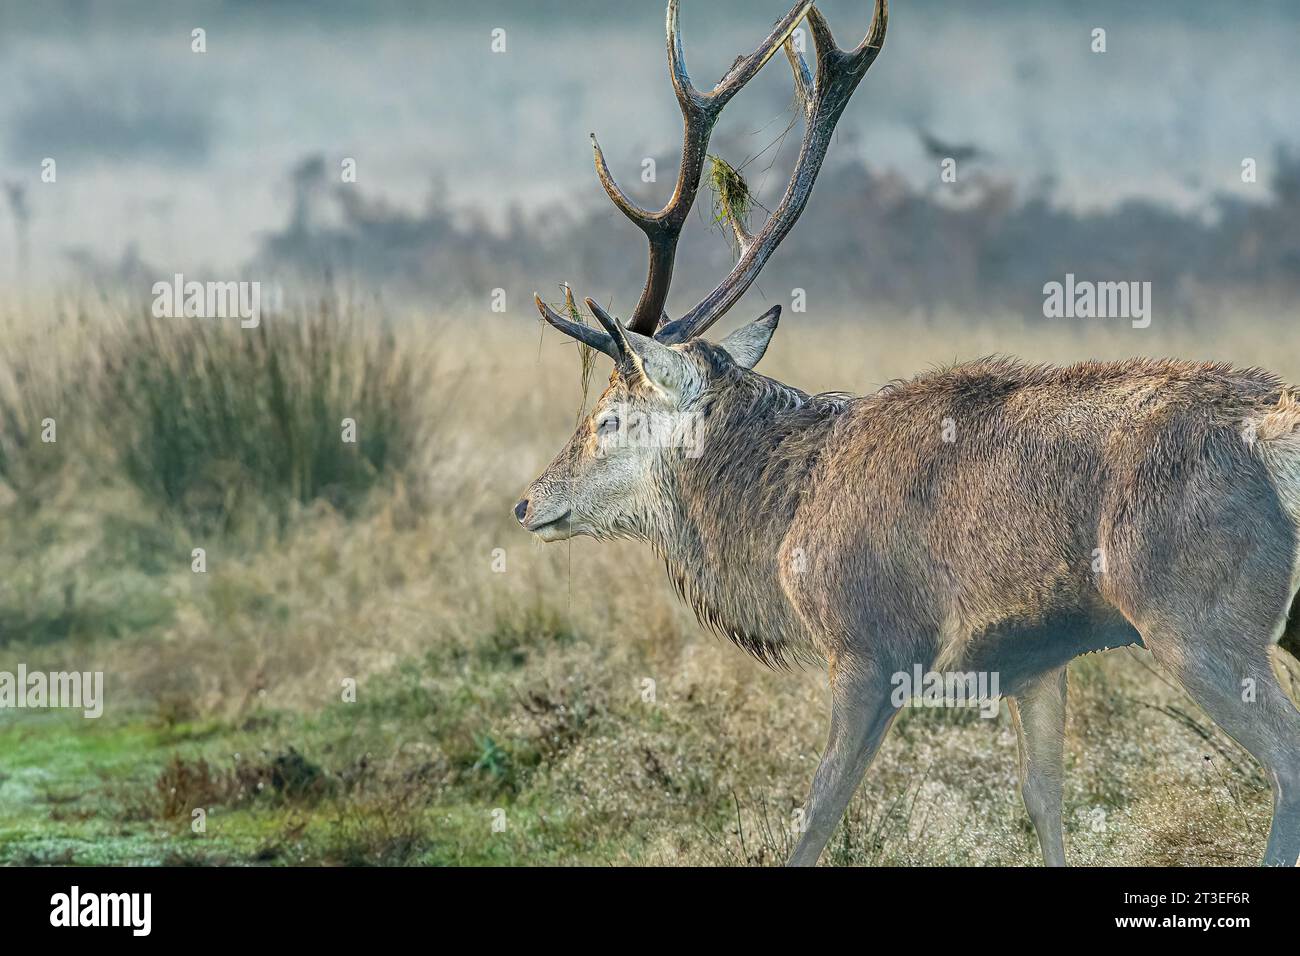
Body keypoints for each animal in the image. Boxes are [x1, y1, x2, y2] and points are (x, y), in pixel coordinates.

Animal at [515, 0, 1300, 866]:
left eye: (608, 418)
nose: (527, 502)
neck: (784, 519)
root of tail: (1273, 425)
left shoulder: (873, 645)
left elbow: (819, 811)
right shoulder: (1036, 657)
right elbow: (1045, 800)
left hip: (1194, 612)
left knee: (1287, 766)